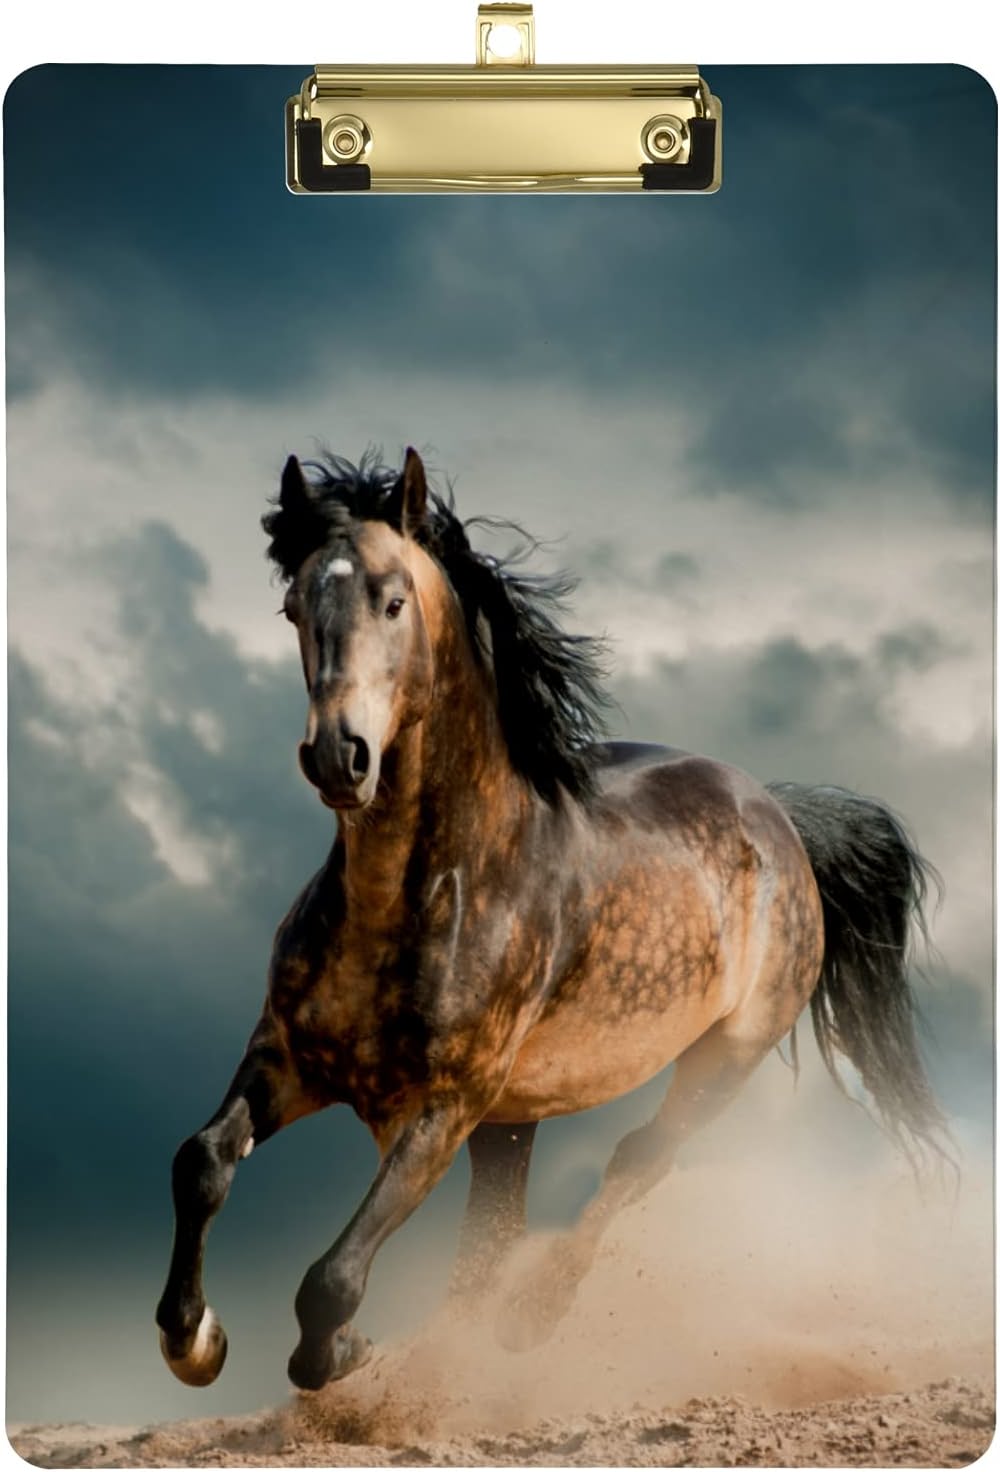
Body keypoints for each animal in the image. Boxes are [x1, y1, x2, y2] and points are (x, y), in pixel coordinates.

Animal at [155, 446, 950, 1393]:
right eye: (293, 606)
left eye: (393, 600)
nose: (338, 757)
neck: (419, 896)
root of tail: (781, 816)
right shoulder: (288, 1059)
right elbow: (201, 1162)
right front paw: (194, 1340)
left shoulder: (444, 1107)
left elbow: (332, 1278)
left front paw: (342, 1353)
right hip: (515, 1119)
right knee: (492, 1236)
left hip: (724, 1058)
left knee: (636, 1161)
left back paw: (529, 1319)